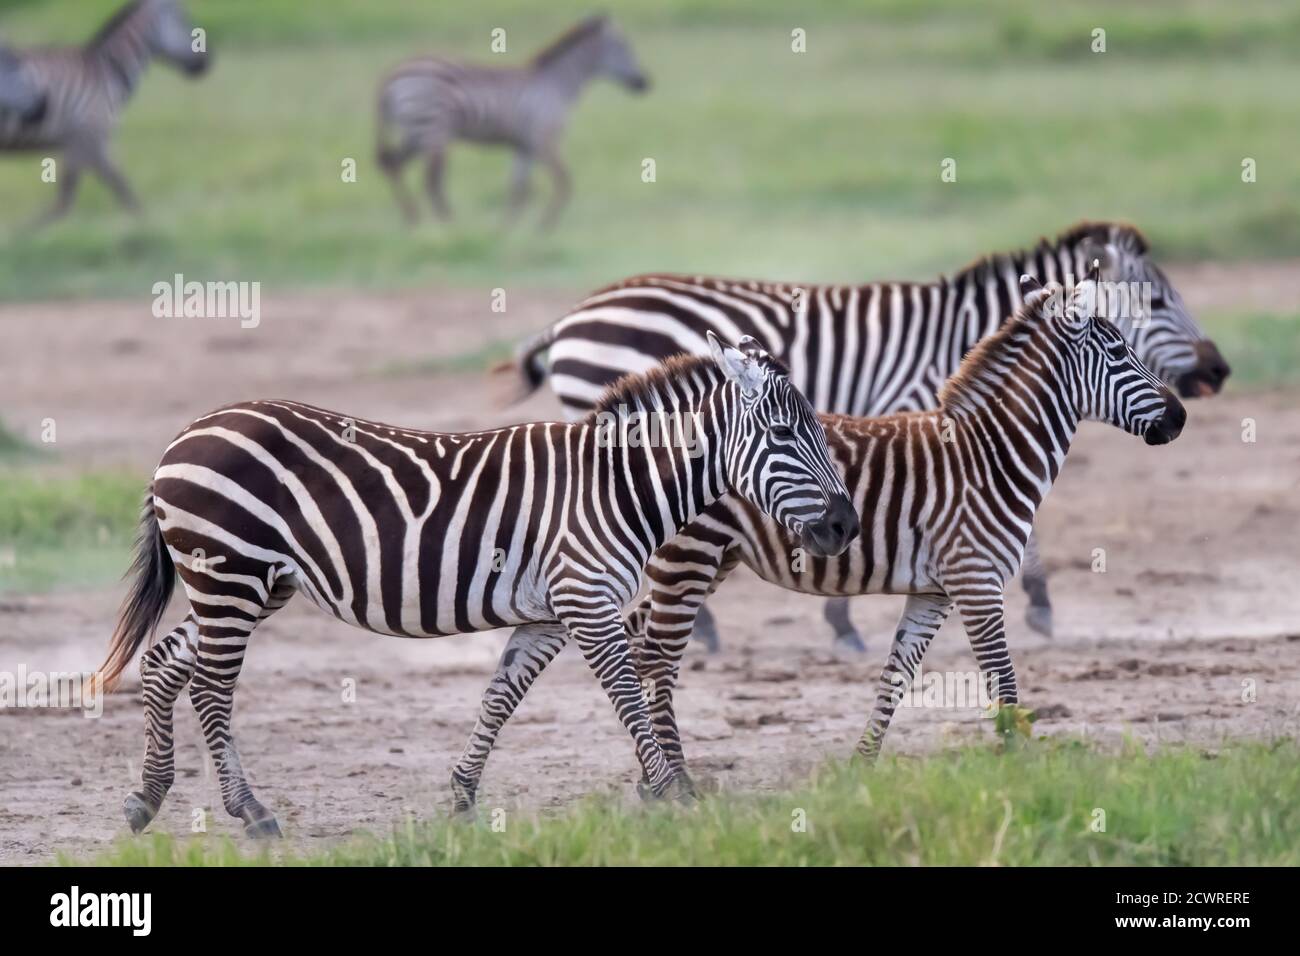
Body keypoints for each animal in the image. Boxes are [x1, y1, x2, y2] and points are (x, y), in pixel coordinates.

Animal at [0, 0, 209, 228]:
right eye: (185, 20)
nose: (209, 62)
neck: (109, 71)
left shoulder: (85, 144)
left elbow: (110, 192)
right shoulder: (89, 139)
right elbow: (115, 191)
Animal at [94, 335, 858, 836]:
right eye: (784, 433)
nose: (845, 525)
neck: (614, 488)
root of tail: (185, 434)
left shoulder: (549, 613)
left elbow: (500, 697)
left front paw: (461, 797)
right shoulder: (588, 602)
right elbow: (628, 700)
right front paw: (675, 795)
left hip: (248, 582)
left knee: (164, 664)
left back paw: (146, 799)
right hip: (231, 574)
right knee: (210, 687)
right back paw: (250, 812)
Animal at [376, 14, 648, 228]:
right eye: (625, 47)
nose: (646, 83)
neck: (556, 84)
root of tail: (391, 75)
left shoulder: (524, 145)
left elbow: (519, 189)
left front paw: (506, 230)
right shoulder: (544, 139)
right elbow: (563, 182)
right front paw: (544, 227)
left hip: (416, 132)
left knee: (392, 164)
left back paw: (413, 219)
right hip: (434, 128)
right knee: (431, 181)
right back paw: (449, 224)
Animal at [464, 271, 1187, 783]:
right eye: (1119, 349)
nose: (1180, 417)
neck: (990, 452)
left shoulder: (933, 590)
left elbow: (896, 677)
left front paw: (860, 767)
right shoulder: (976, 579)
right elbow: (1003, 680)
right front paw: (1019, 768)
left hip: (699, 563)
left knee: (644, 645)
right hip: (688, 559)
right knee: (658, 657)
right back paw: (670, 779)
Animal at [501, 221, 1230, 650]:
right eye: (1157, 303)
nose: (1220, 372)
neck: (956, 333)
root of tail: (572, 314)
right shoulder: (926, 419)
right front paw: (1041, 604)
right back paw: (700, 628)